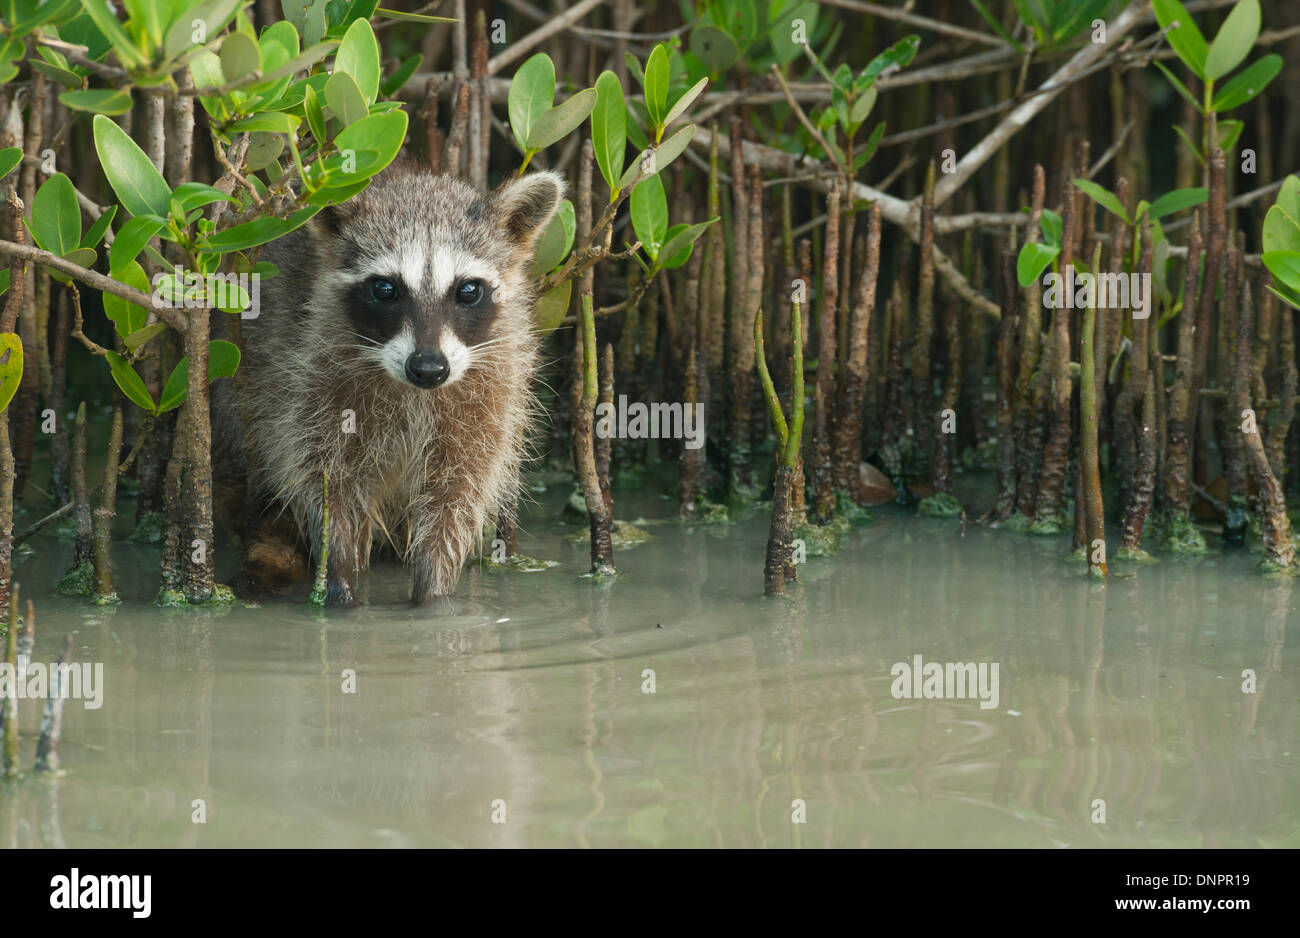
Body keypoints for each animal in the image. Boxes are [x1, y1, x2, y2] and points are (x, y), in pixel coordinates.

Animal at [217, 163, 564, 606]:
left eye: (468, 290)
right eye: (385, 288)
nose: (429, 368)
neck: (416, 391)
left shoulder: (492, 386)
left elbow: (456, 494)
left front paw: (433, 594)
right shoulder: (311, 375)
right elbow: (326, 483)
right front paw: (339, 578)